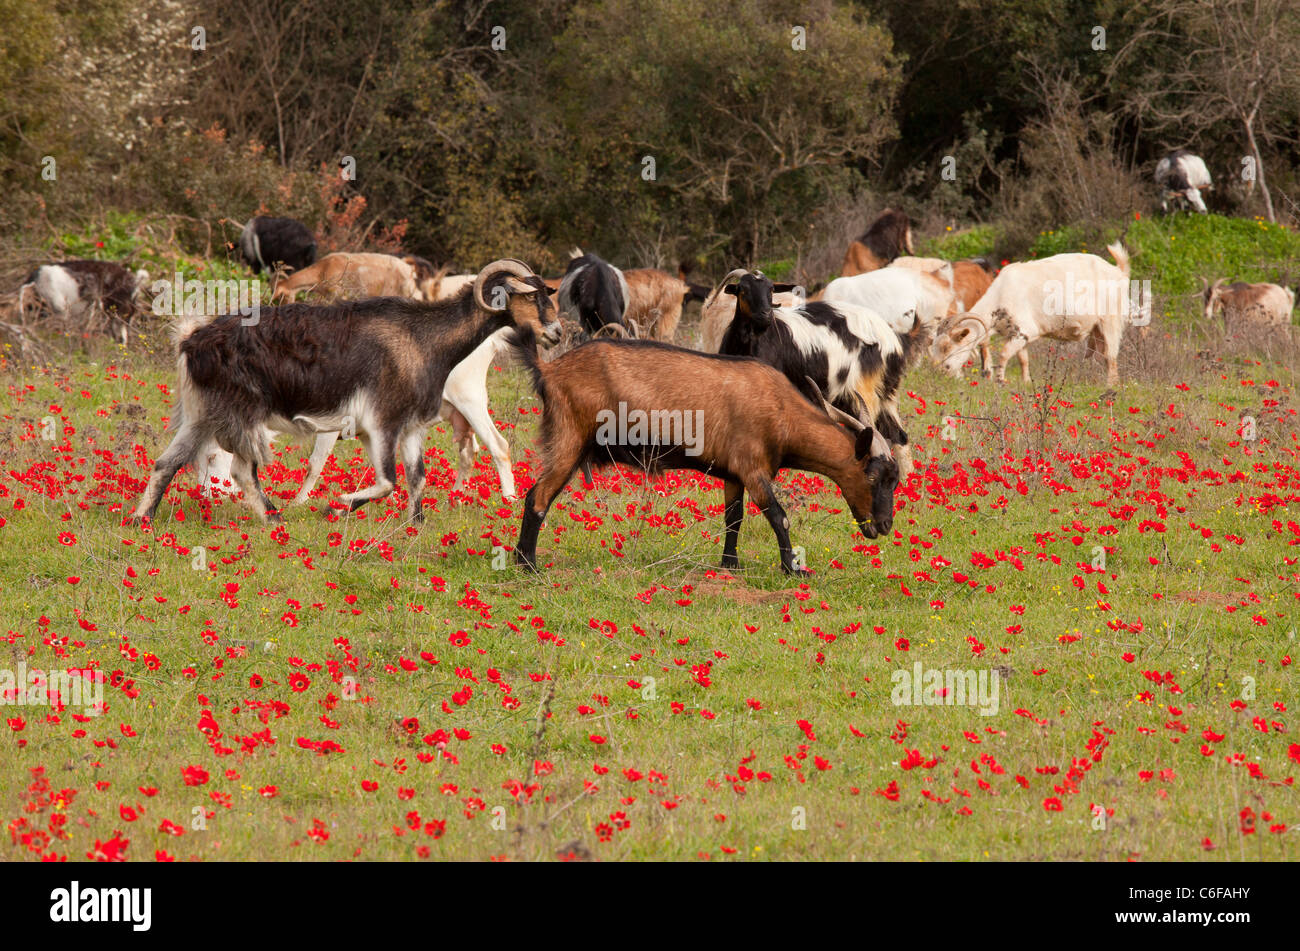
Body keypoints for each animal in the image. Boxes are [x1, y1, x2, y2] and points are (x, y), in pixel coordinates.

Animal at [133, 259, 558, 524]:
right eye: (531, 296)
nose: (555, 334)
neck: (423, 337)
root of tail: (192, 341)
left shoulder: (410, 427)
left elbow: (416, 477)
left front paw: (414, 523)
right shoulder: (381, 422)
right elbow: (387, 481)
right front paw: (336, 507)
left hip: (202, 413)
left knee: (166, 462)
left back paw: (142, 519)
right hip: (243, 411)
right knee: (240, 469)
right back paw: (273, 516)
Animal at [512, 331, 899, 574]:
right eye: (874, 475)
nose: (884, 525)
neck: (781, 410)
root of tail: (549, 369)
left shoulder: (735, 473)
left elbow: (734, 517)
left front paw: (730, 564)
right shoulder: (754, 469)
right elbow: (779, 516)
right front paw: (793, 569)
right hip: (569, 439)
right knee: (538, 496)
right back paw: (528, 565)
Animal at [715, 269, 921, 479]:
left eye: (771, 289)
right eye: (743, 289)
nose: (766, 315)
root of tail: (893, 339)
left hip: (864, 390)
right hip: (884, 393)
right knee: (898, 435)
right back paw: (907, 481)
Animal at [931, 243, 1139, 386]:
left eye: (947, 346)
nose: (942, 371)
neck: (1001, 294)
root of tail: (1119, 271)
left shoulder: (1024, 329)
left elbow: (1004, 355)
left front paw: (1000, 381)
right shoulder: (1018, 335)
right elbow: (1023, 359)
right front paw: (1026, 382)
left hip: (1110, 321)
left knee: (1111, 356)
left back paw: (1110, 386)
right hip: (1096, 329)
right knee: (1100, 355)